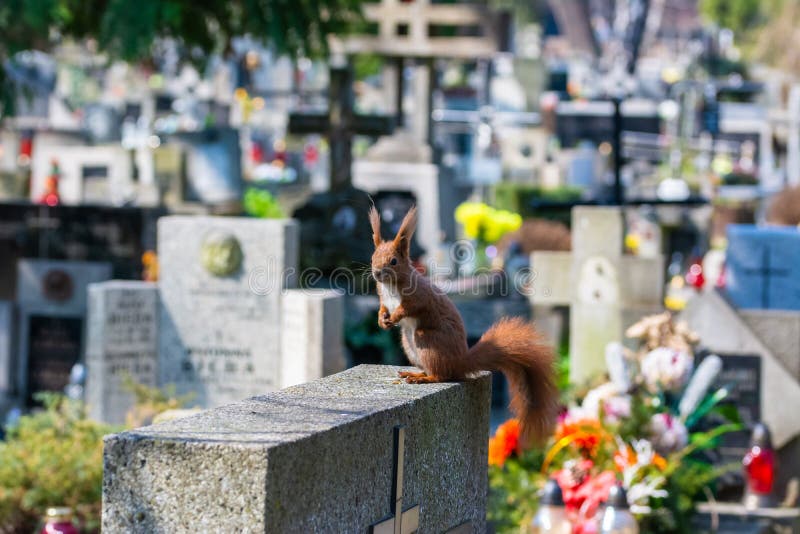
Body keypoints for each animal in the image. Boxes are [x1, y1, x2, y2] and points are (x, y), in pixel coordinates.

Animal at [370, 206, 559, 444]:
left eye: (393, 261)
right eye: (373, 257)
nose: (377, 273)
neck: (390, 285)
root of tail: (461, 361)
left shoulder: (419, 297)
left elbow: (410, 308)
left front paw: (394, 318)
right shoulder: (383, 299)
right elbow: (382, 307)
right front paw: (382, 320)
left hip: (425, 339)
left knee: (442, 375)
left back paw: (423, 379)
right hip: (409, 344)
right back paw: (415, 374)